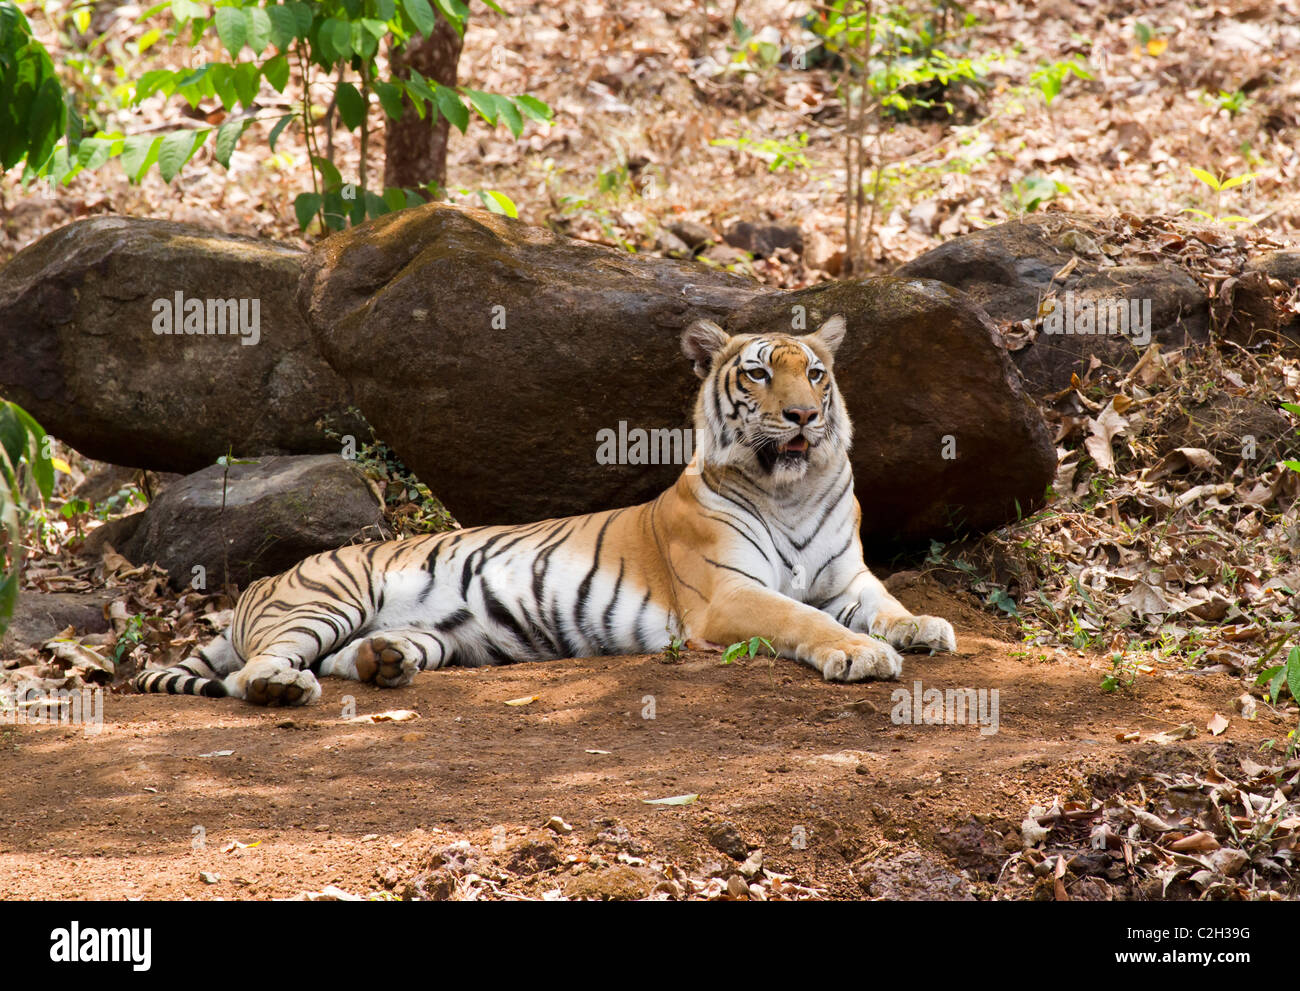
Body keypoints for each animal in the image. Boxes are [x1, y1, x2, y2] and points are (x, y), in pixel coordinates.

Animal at [134, 314, 956, 706]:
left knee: (347, 659)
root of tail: (259, 589)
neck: (791, 492)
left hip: (433, 637)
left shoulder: (848, 577)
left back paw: (383, 662)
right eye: (757, 375)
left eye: (815, 374)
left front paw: (922, 627)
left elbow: (885, 602)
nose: (802, 416)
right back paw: (282, 687)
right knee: (257, 671)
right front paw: (859, 654)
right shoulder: (729, 593)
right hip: (329, 595)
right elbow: (802, 617)